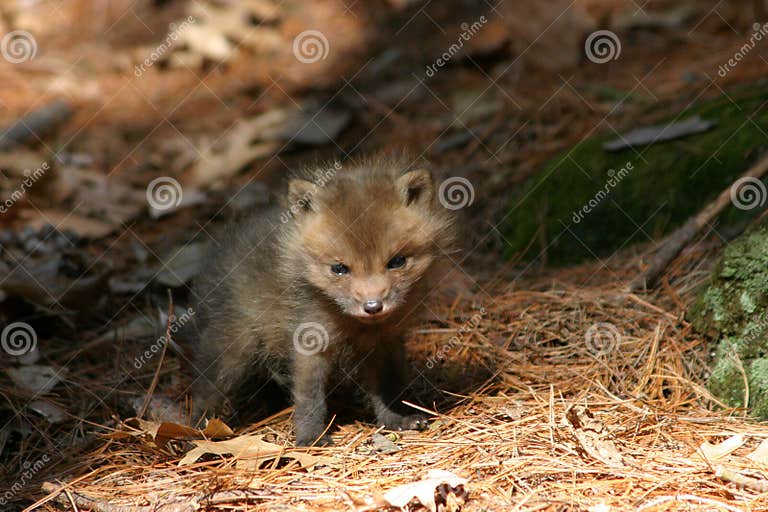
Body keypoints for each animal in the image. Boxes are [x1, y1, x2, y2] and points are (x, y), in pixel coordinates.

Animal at [188, 155, 456, 446]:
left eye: (397, 262)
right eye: (339, 268)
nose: (373, 306)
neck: (356, 326)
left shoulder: (385, 341)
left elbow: (388, 386)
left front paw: (396, 420)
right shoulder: (309, 342)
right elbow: (309, 396)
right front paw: (311, 437)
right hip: (234, 349)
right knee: (207, 386)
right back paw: (199, 430)